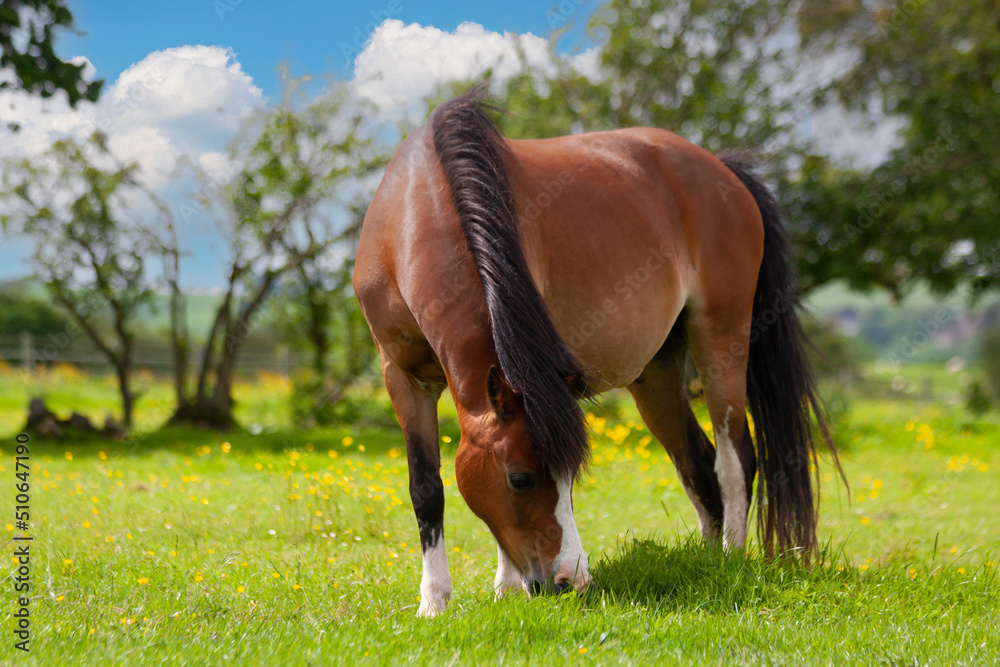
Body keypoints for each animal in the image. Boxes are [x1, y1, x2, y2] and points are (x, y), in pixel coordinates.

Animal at [353, 87, 836, 617]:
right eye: (521, 479)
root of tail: (724, 171)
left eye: (570, 480)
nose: (571, 581)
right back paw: (708, 560)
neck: (414, 208)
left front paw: (502, 586)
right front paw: (436, 602)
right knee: (696, 463)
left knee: (734, 460)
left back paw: (731, 558)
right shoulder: (401, 376)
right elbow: (427, 486)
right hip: (656, 375)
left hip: (722, 339)